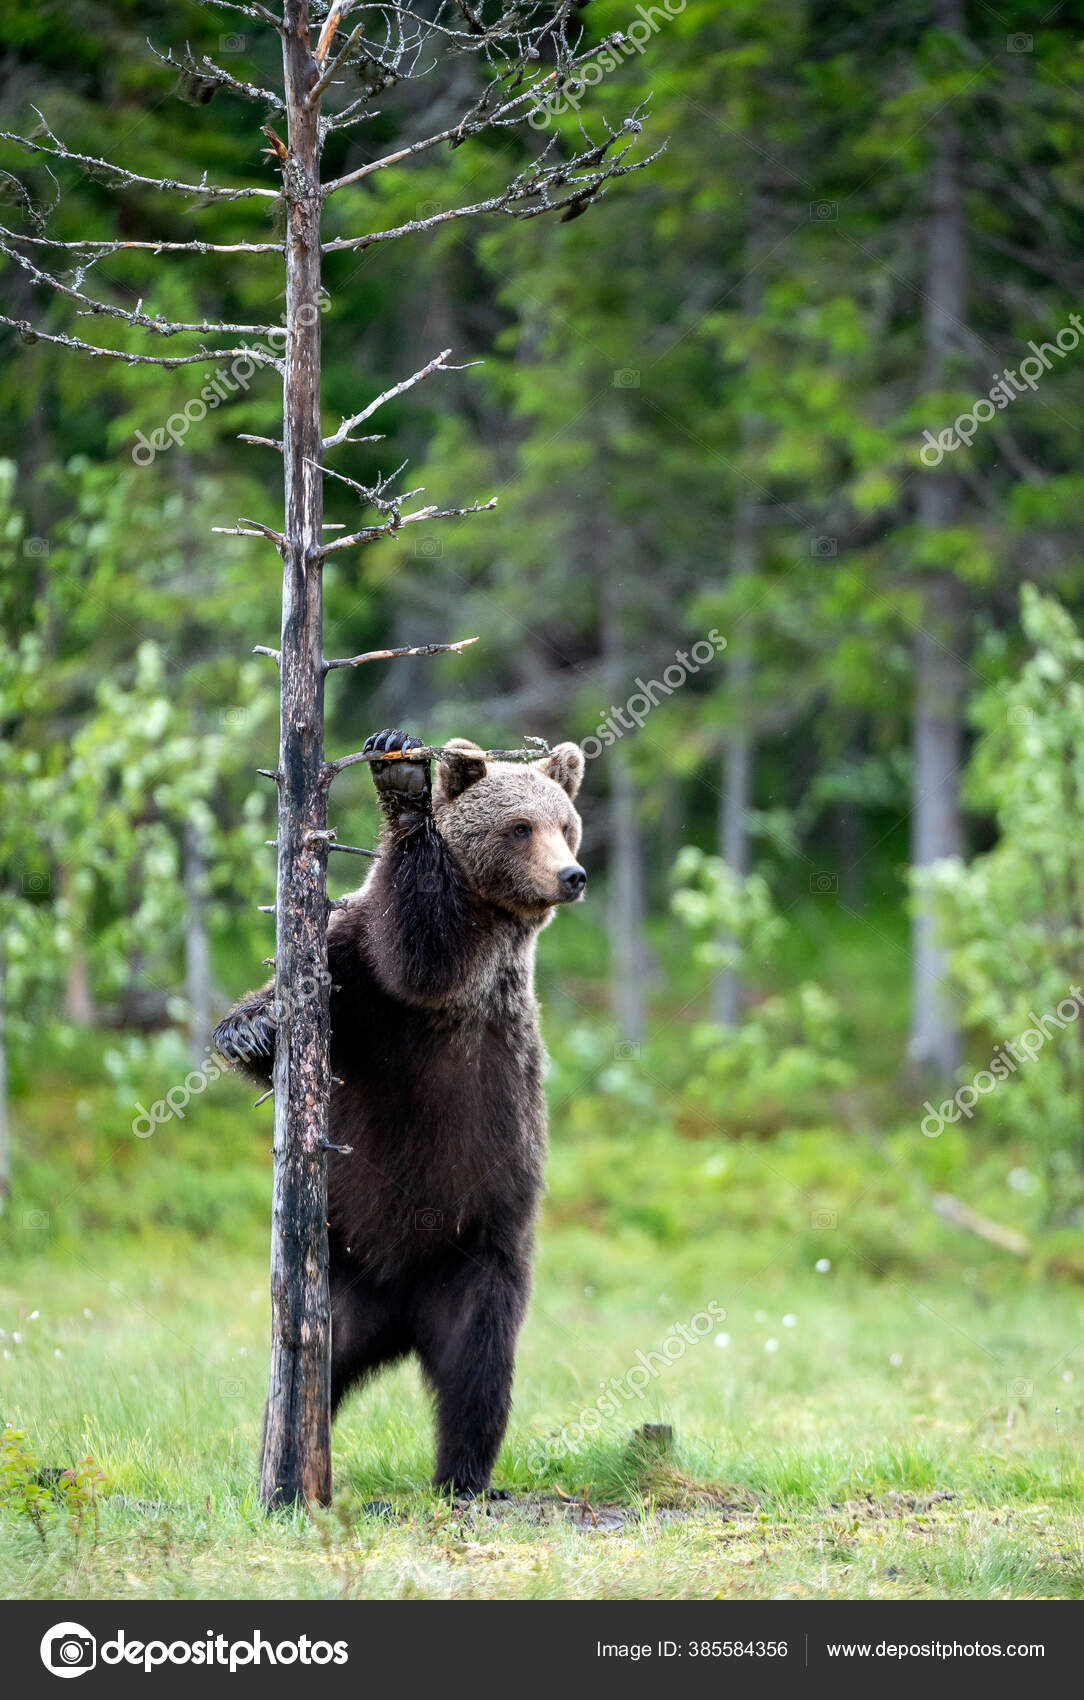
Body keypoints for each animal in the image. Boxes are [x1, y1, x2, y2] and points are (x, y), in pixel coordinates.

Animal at [213, 728, 586, 1496]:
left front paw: (409, 792)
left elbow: (424, 950)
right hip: (340, 1281)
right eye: (521, 826)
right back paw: (283, 1456)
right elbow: (292, 1006)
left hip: (479, 1254)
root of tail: (403, 1317)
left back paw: (464, 1476)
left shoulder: (466, 971)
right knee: (318, 1364)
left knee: (479, 1368)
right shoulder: (348, 962)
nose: (573, 875)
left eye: (565, 825)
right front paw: (248, 1030)